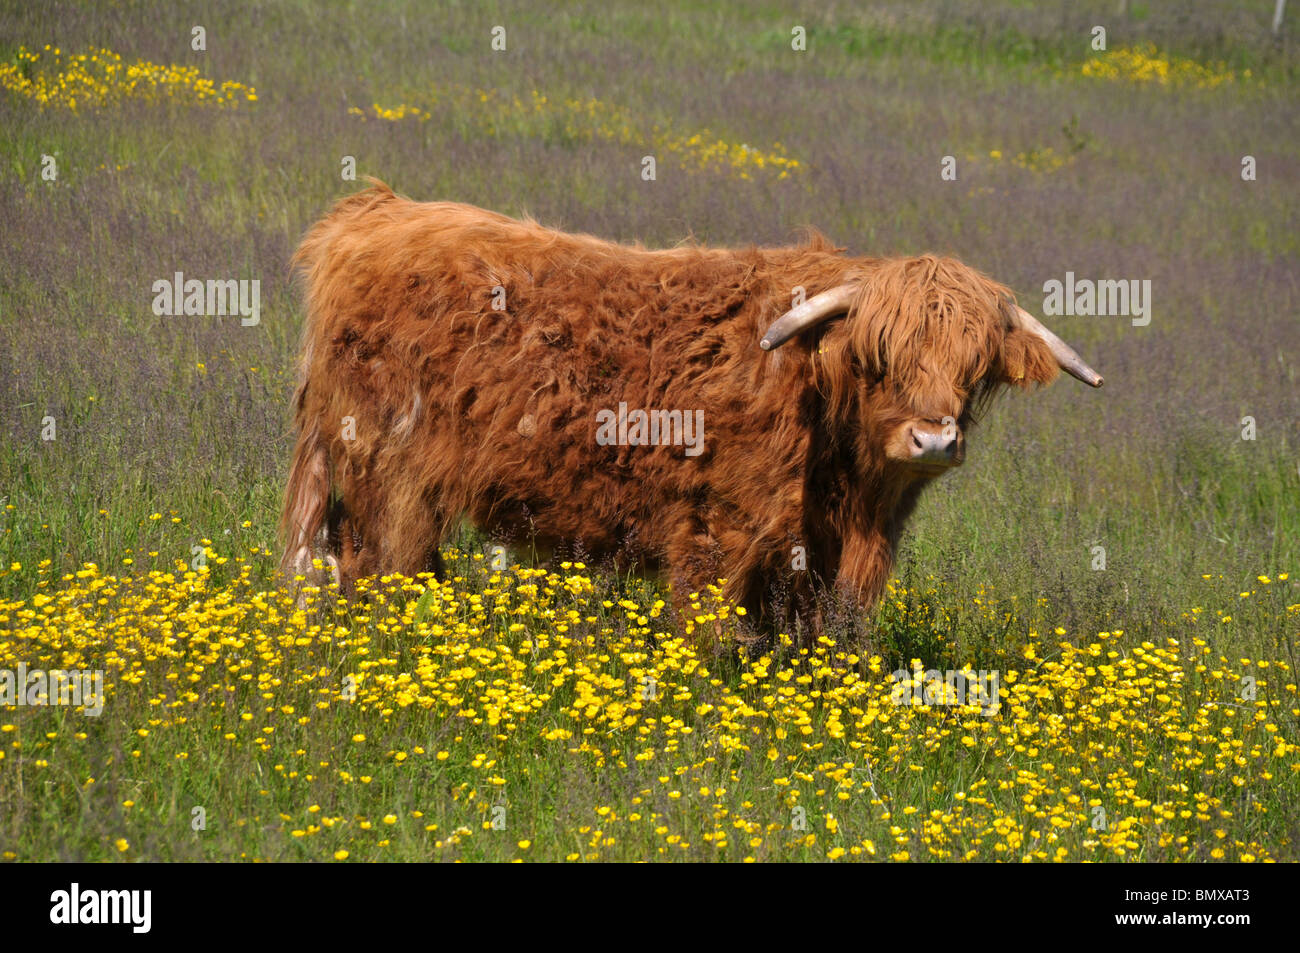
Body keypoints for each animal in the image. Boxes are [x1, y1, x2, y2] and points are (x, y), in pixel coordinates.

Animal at [280, 181, 1102, 639]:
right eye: (879, 358)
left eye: (974, 368)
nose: (934, 438)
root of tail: (371, 214)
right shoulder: (716, 531)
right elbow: (709, 640)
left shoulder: (821, 558)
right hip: (390, 471)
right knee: (378, 565)